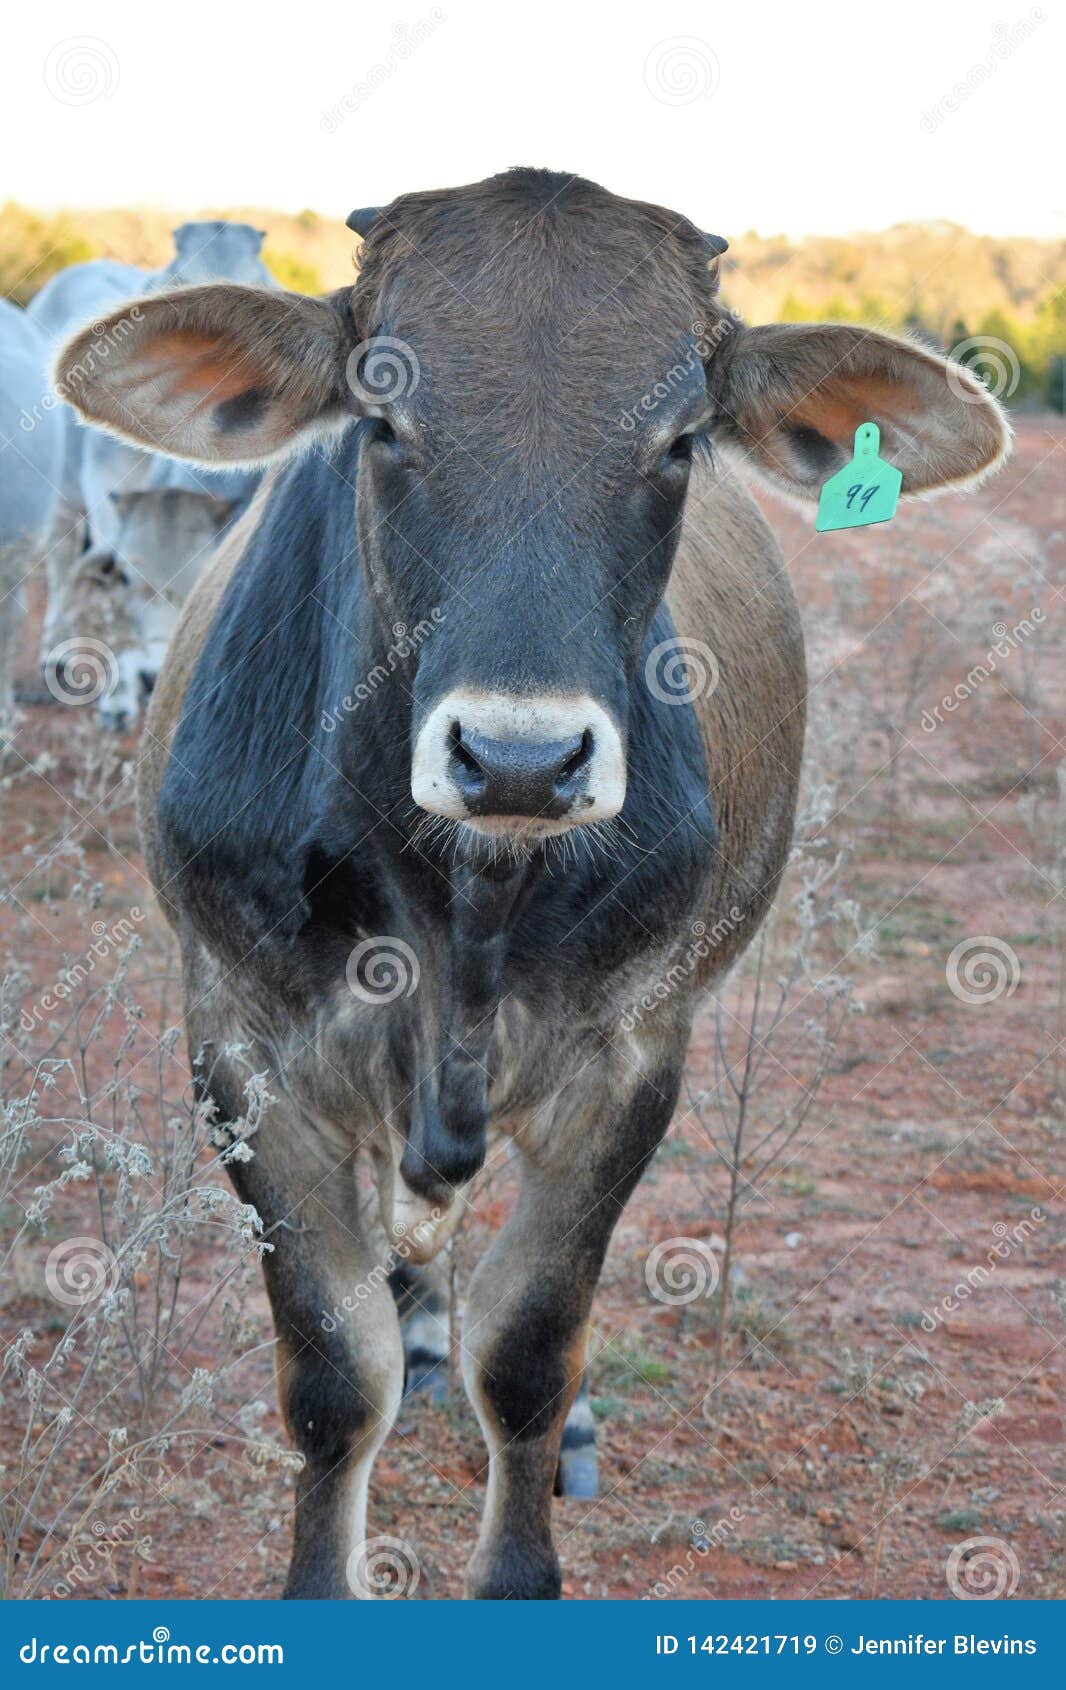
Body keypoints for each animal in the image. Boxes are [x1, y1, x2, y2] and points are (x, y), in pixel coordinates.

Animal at [56, 168, 1009, 1600]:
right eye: (380, 419)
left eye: (680, 440)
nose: (518, 755)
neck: (460, 897)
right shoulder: (238, 1039)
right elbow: (333, 1371)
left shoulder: (630, 1057)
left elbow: (527, 1348)